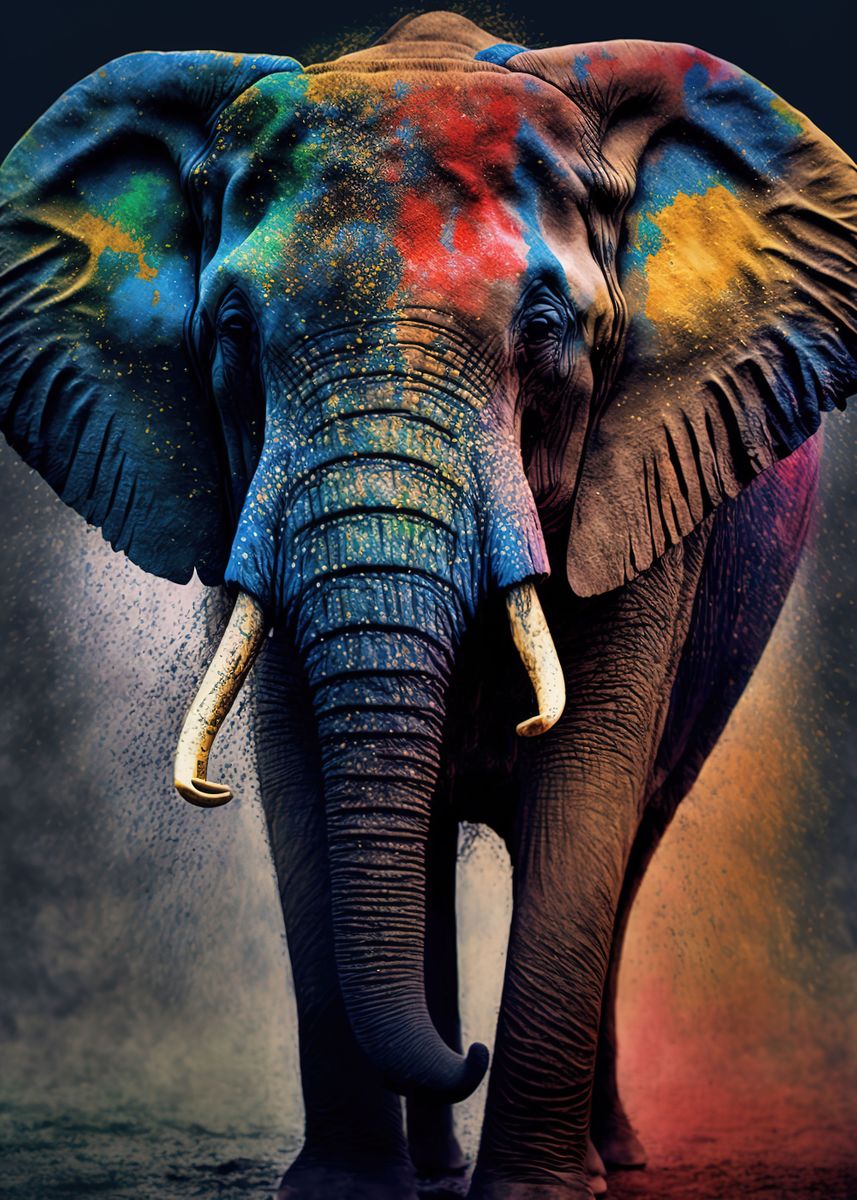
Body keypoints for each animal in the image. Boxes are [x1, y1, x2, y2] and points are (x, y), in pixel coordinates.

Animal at [1, 9, 855, 1199]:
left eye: (544, 325)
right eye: (230, 329)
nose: (472, 1054)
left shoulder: (648, 459)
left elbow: (586, 783)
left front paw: (535, 1193)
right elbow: (302, 772)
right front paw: (349, 1192)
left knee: (630, 841)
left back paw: (604, 1159)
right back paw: (439, 1163)